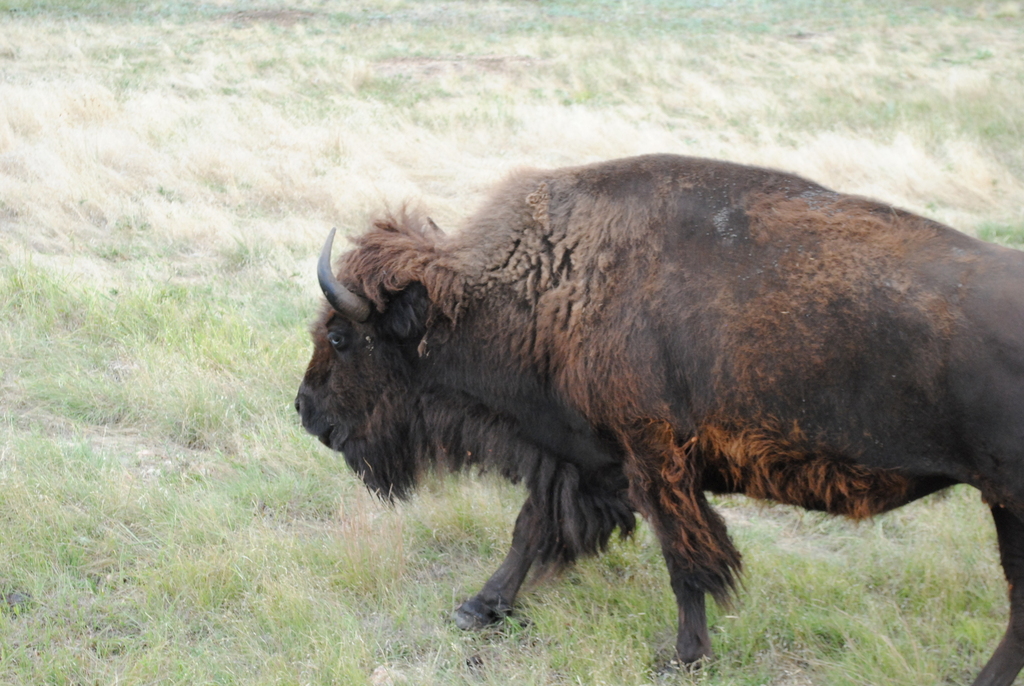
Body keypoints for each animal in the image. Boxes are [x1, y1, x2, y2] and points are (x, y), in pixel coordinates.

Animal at [295, 154, 1024, 686]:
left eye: (341, 336)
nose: (305, 411)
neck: (561, 283)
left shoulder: (655, 462)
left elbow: (684, 558)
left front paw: (684, 656)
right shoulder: (579, 458)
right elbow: (532, 528)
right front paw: (479, 608)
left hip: (1008, 502)